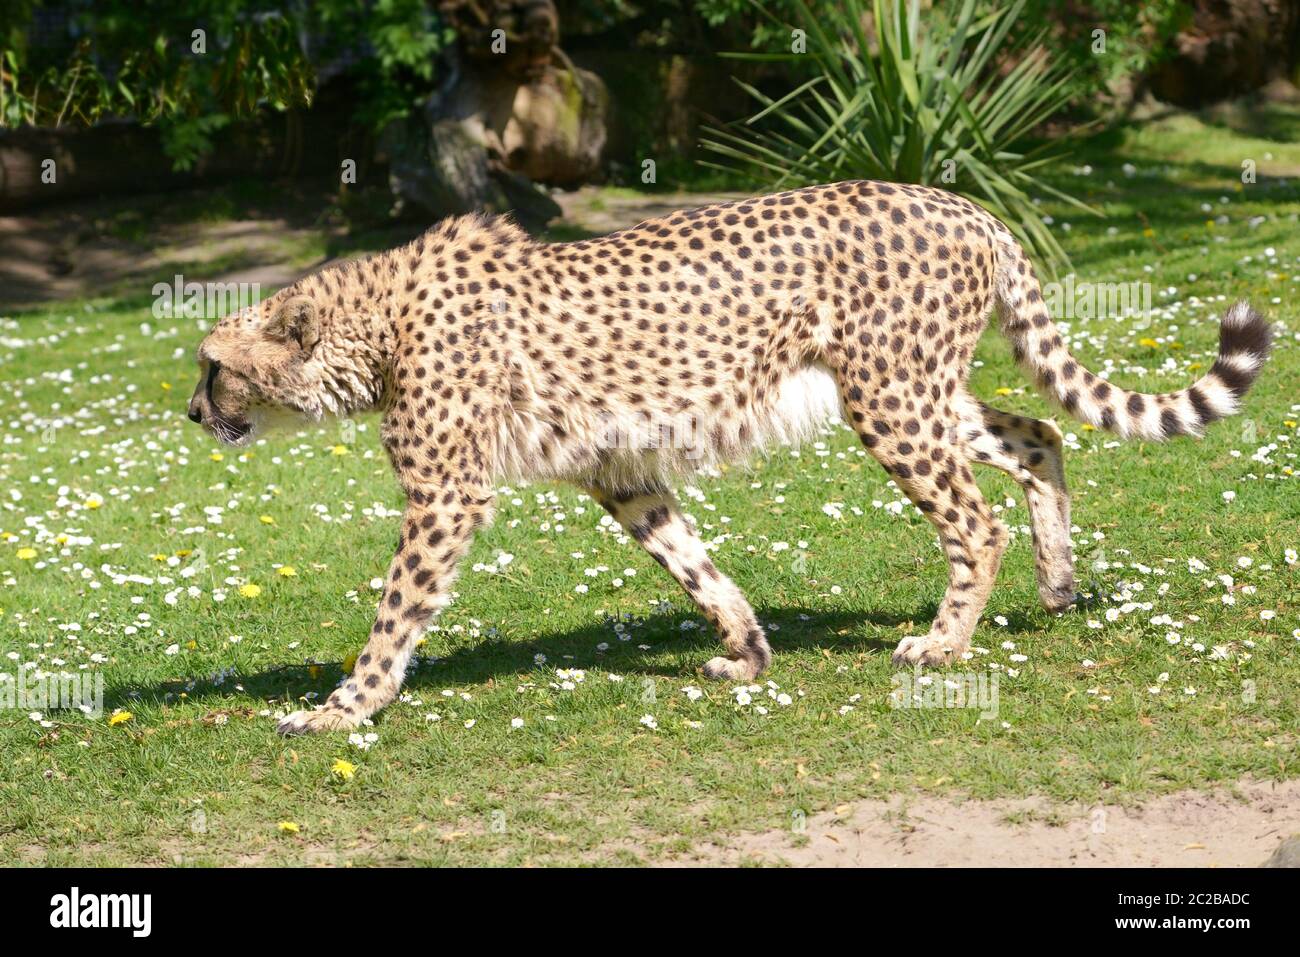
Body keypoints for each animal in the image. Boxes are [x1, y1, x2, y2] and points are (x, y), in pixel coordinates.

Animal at [186, 180, 1272, 735]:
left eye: (212, 365)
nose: (193, 413)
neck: (371, 327)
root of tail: (966, 203)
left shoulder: (445, 495)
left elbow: (394, 613)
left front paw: (344, 706)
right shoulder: (619, 472)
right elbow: (692, 564)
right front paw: (747, 650)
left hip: (890, 399)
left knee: (975, 519)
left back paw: (944, 642)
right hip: (914, 392)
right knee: (1040, 436)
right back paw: (1057, 584)